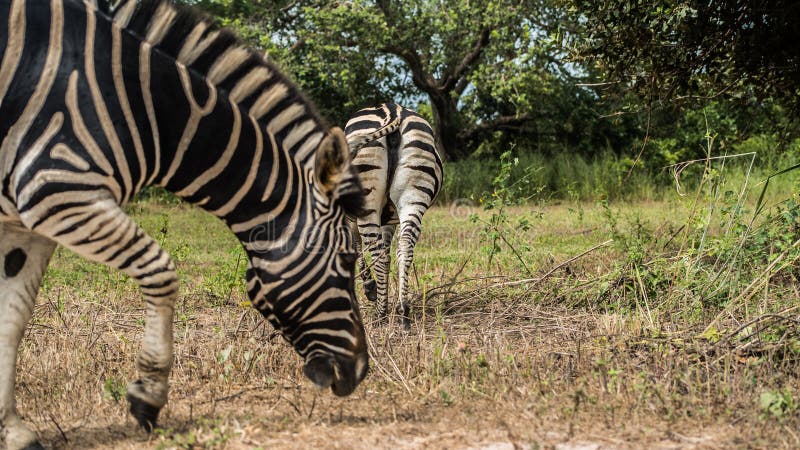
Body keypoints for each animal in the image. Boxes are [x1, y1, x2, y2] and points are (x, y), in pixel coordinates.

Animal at [0, 1, 369, 448]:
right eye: (348, 259)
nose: (361, 372)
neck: (147, 109)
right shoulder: (57, 188)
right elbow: (162, 271)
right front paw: (148, 396)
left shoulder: (26, 223)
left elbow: (12, 318)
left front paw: (12, 428)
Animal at [344, 103, 443, 329]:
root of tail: (392, 110)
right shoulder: (388, 220)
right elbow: (387, 252)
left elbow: (358, 249)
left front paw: (371, 289)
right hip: (414, 194)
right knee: (405, 246)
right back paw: (403, 311)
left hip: (368, 200)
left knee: (376, 252)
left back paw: (381, 314)